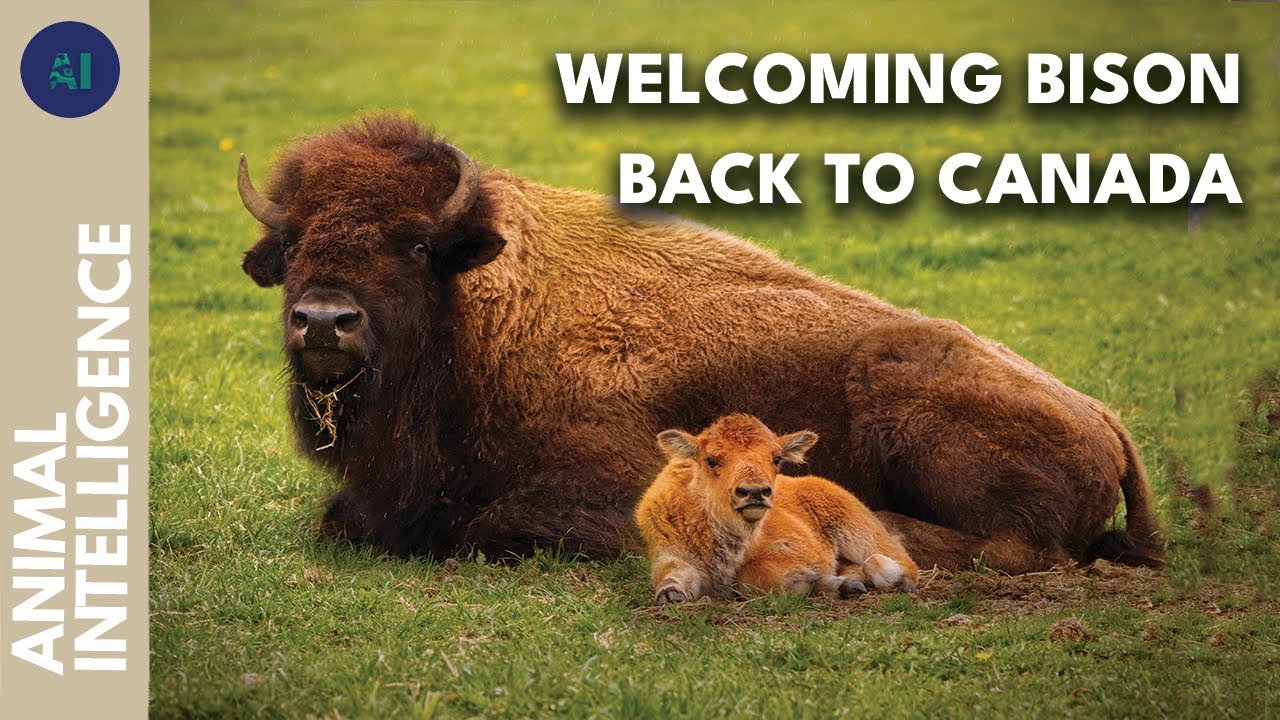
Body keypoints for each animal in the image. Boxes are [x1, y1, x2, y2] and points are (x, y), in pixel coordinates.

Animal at [237, 114, 1163, 572]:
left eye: (417, 244)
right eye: (295, 241)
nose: (324, 321)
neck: (480, 311)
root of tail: (1107, 419)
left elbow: (490, 528)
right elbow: (343, 520)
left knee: (1016, 549)